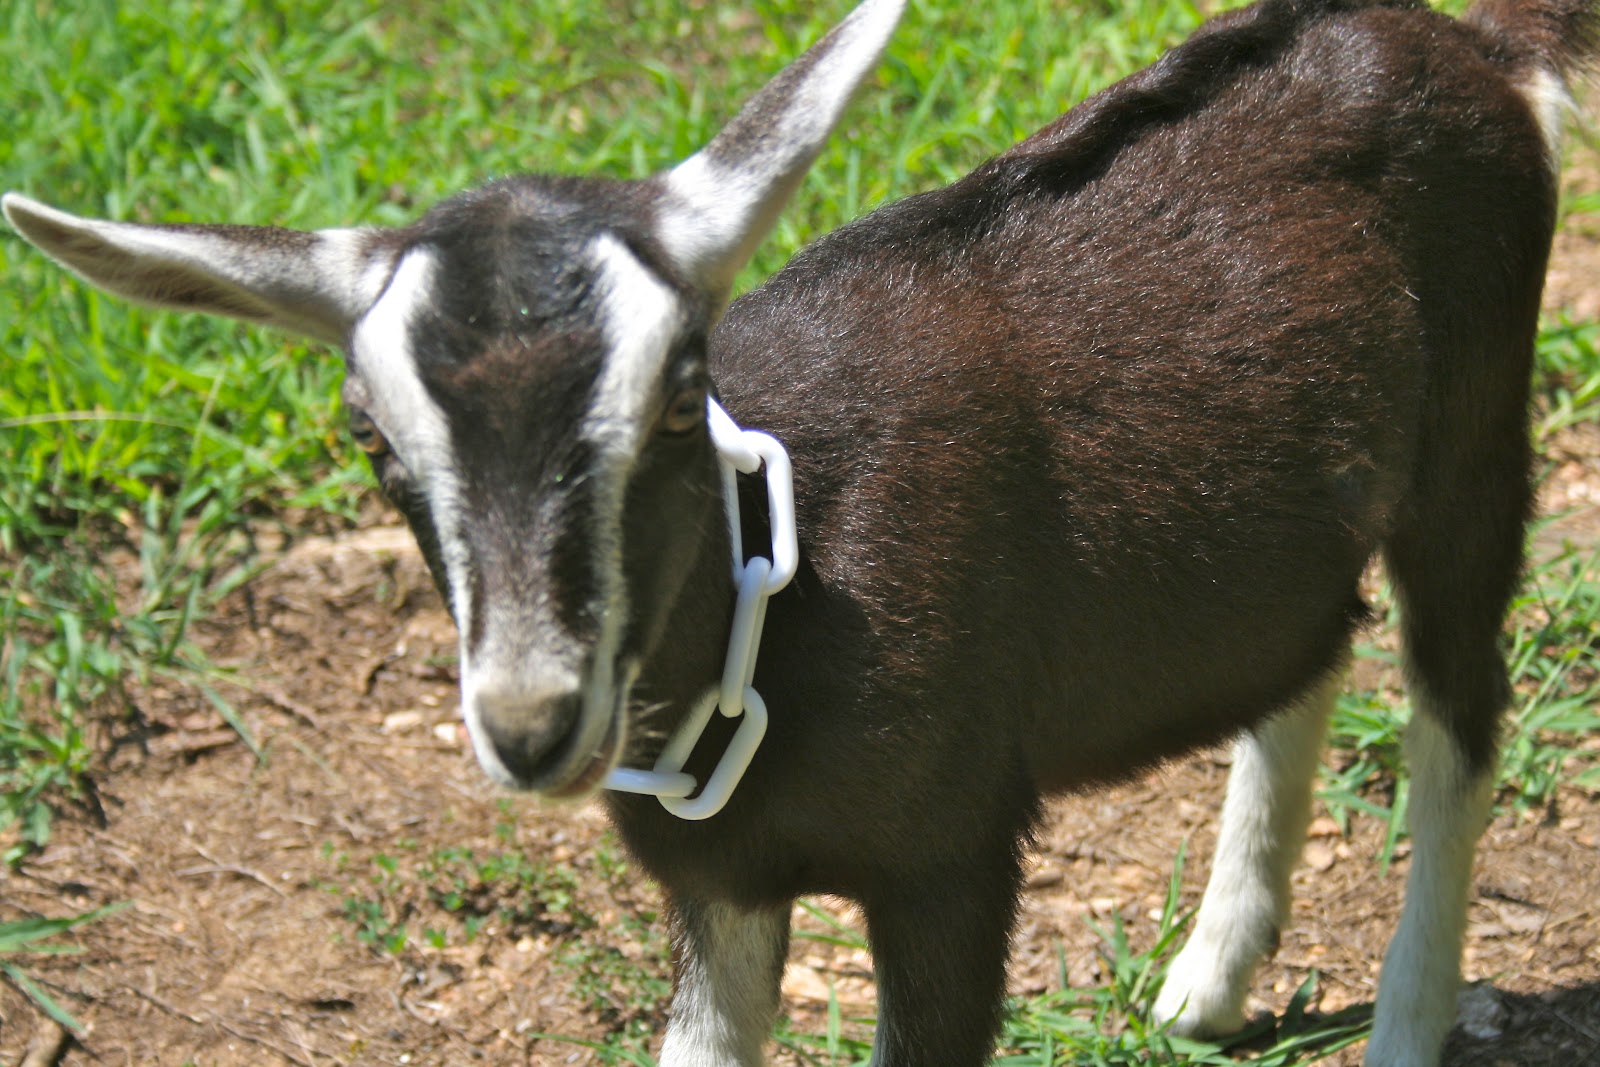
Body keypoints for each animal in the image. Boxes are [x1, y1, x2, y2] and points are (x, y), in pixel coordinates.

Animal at [5, 0, 1593, 1062]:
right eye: (371, 441)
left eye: (680, 390)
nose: (530, 720)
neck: (793, 591)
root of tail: (1465, 45)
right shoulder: (716, 881)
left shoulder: (953, 852)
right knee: (1307, 642)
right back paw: (1211, 975)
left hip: (1474, 445)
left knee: (1462, 711)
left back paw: (1403, 1020)